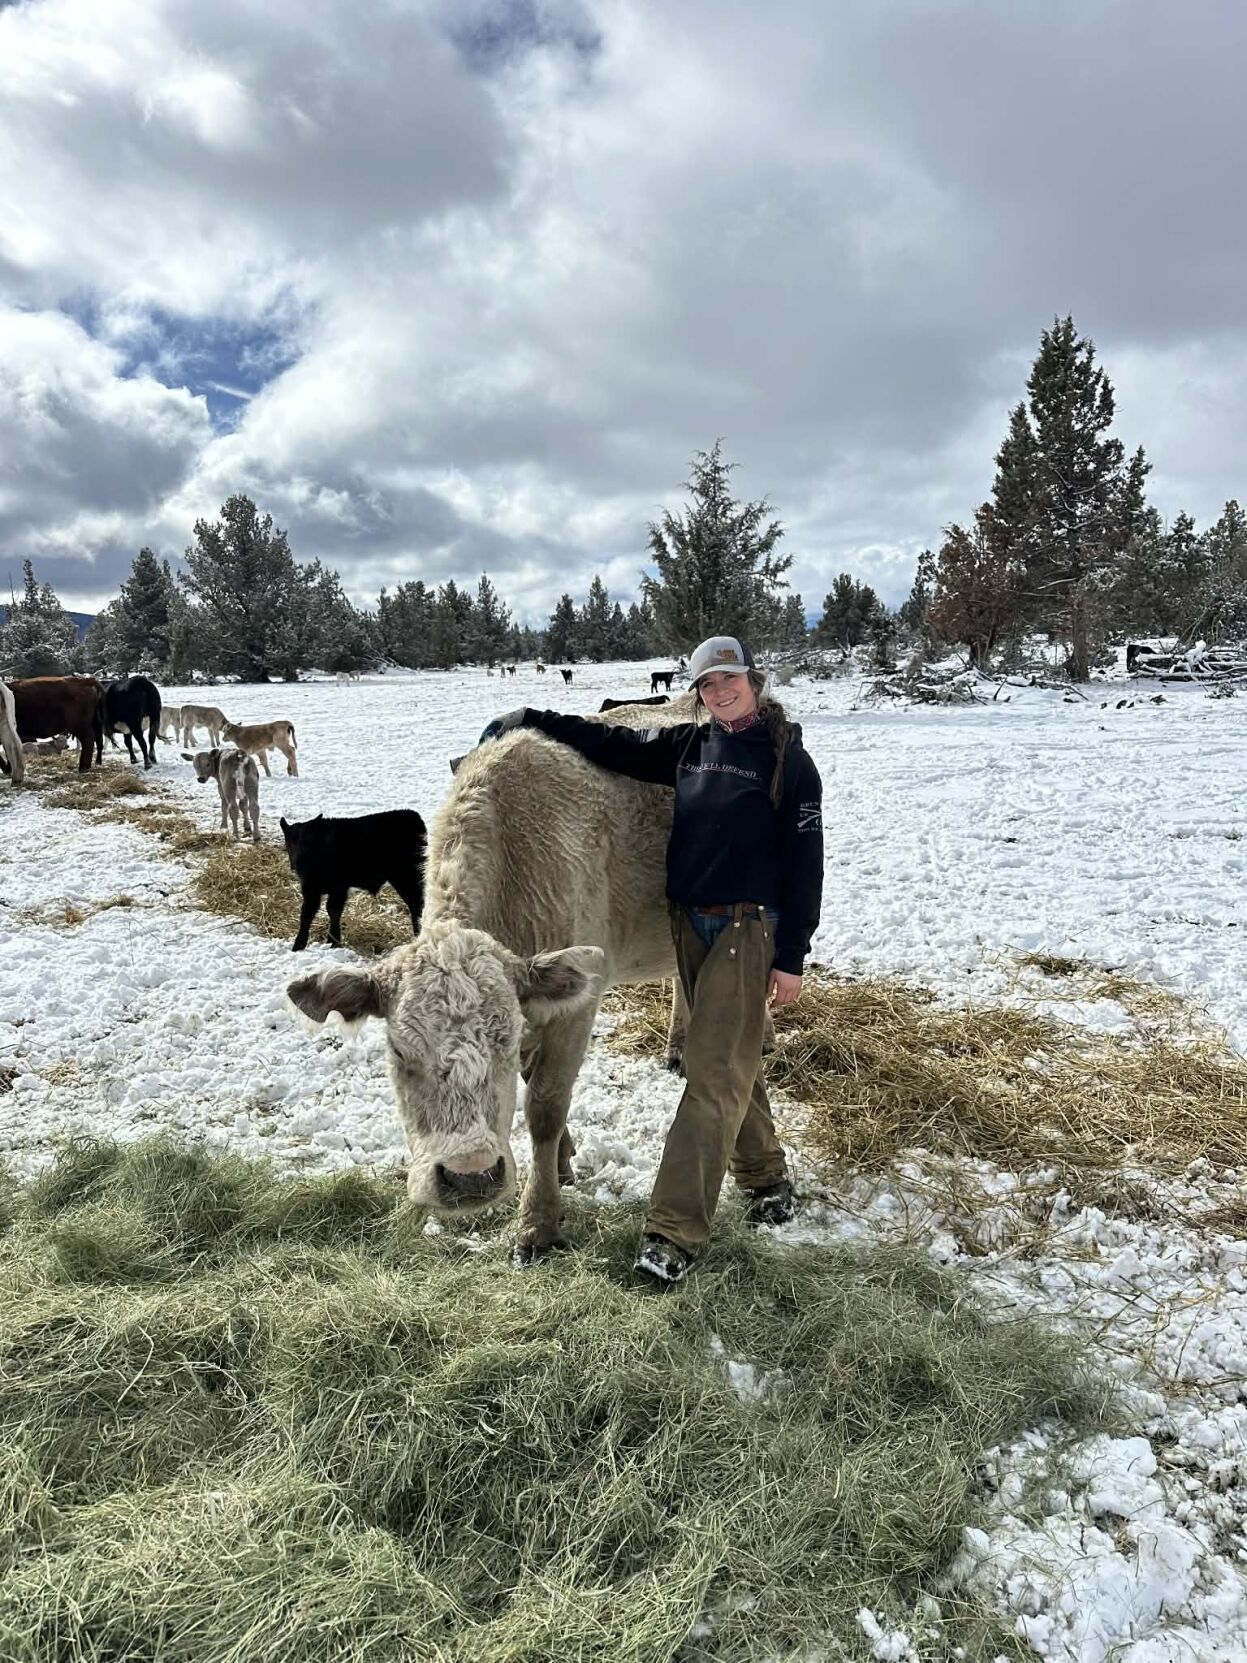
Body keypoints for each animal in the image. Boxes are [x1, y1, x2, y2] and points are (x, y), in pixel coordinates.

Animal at [280, 810, 426, 952]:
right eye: (289, 843)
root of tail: (413, 817)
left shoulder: (329, 888)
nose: (297, 863)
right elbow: (318, 912)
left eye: (309, 842)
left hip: (405, 877)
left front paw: (328, 941)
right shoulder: (319, 888)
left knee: (416, 904)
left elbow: (324, 911)